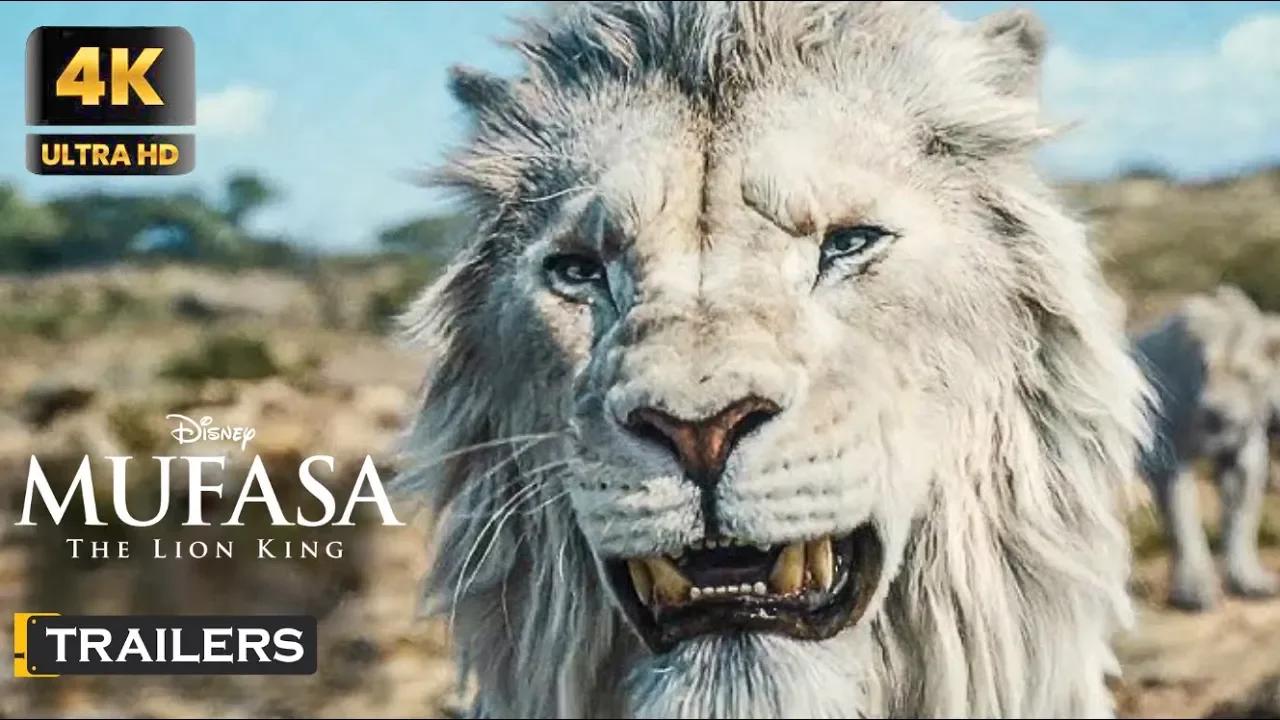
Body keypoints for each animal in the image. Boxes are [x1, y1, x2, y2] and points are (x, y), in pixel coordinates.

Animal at [1134, 286, 1279, 610]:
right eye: (1206, 369)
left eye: (1244, 374)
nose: (1214, 412)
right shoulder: (1167, 461)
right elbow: (1183, 521)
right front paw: (1195, 594)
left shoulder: (1244, 455)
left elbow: (1241, 519)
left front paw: (1248, 582)